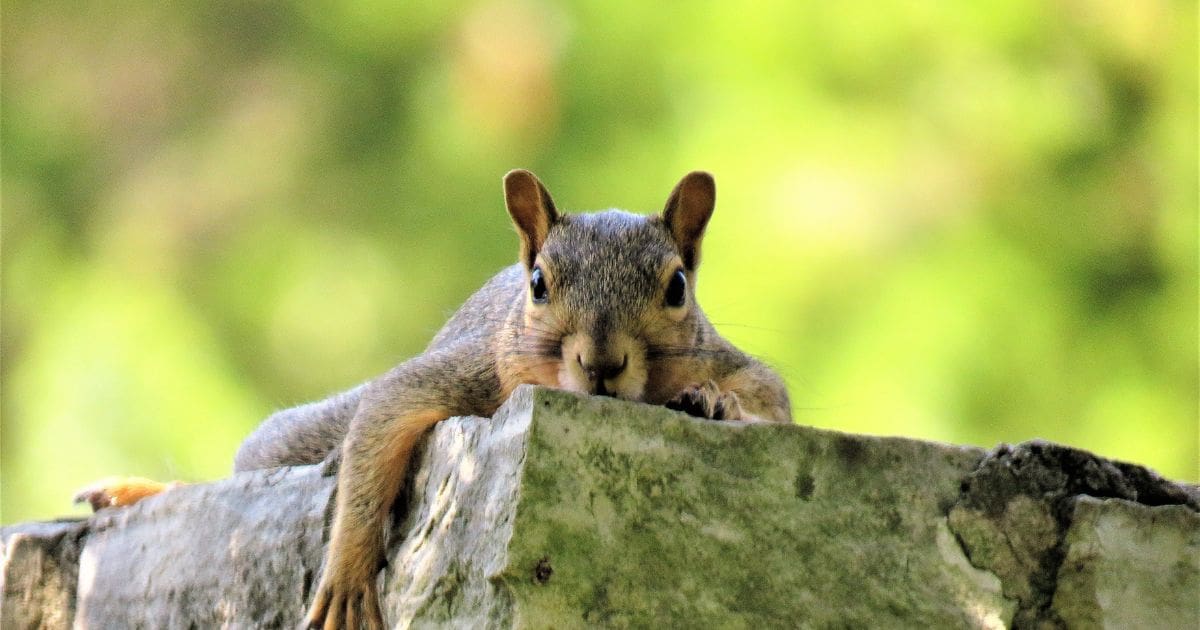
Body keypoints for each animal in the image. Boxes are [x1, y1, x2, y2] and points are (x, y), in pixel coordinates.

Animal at [76, 170, 792, 629]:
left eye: (677, 288)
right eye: (538, 283)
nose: (603, 365)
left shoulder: (728, 359)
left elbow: (771, 399)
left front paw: (715, 402)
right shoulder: (472, 373)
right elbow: (383, 420)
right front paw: (347, 575)